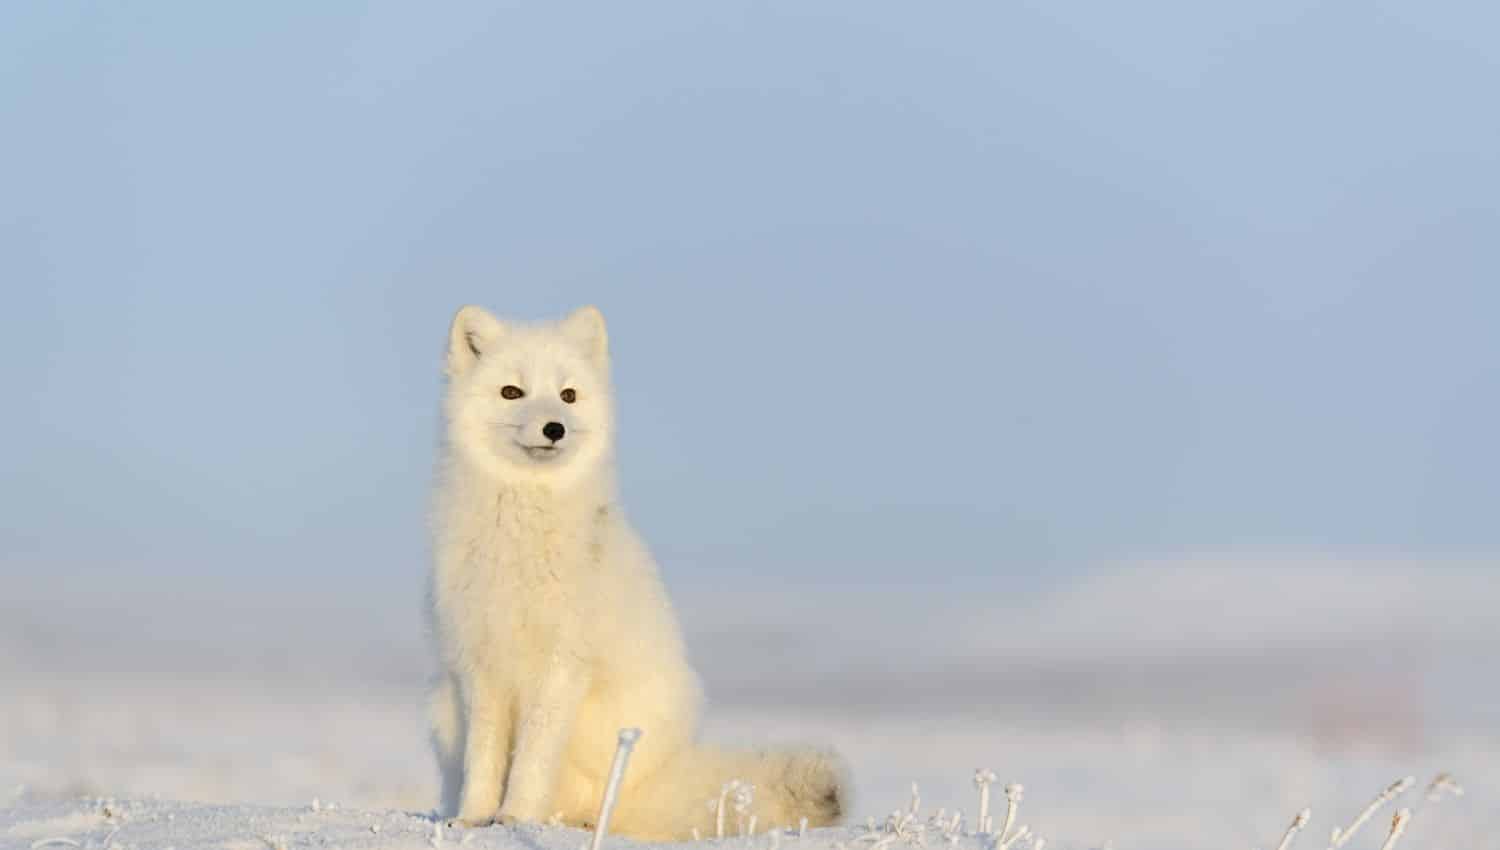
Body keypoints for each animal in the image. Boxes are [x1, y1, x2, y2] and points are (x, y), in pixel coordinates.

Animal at [426, 305, 848, 839]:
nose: (555, 428)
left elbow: (533, 757)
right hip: (441, 707)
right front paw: (473, 817)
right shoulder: (479, 662)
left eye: (568, 395)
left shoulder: (563, 663)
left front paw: (517, 815)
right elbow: (483, 758)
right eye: (512, 392)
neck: (523, 533)